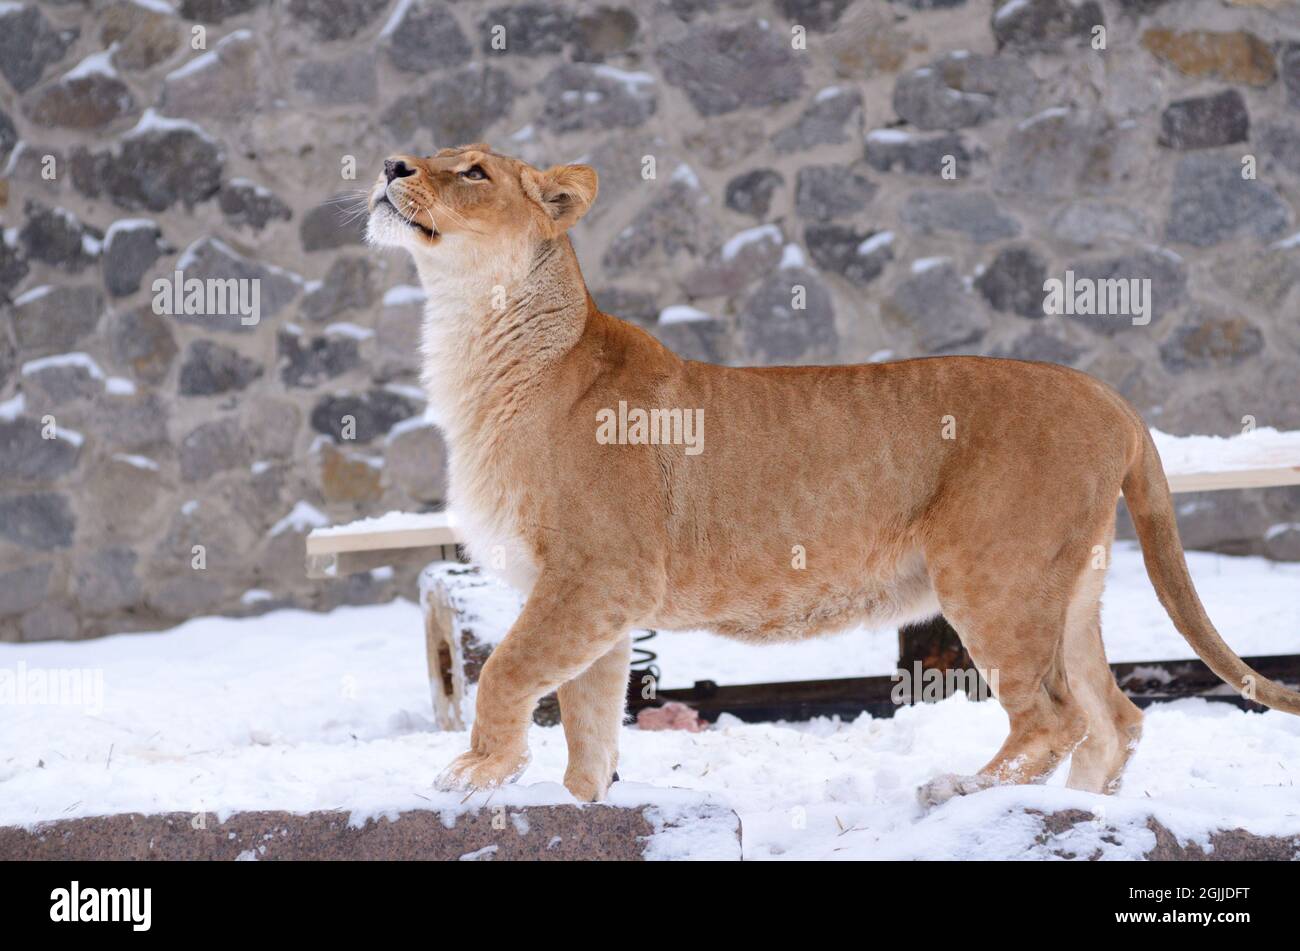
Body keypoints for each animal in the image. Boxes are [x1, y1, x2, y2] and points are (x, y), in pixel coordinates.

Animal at [365, 144, 1300, 805]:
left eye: (474, 169)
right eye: (434, 152)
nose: (389, 166)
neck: (472, 337)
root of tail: (1109, 394)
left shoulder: (597, 572)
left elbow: (508, 669)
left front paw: (475, 770)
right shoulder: (602, 600)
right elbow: (590, 725)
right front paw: (581, 803)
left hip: (994, 572)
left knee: (1055, 717)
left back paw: (959, 789)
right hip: (1071, 588)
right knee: (1117, 718)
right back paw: (1085, 810)